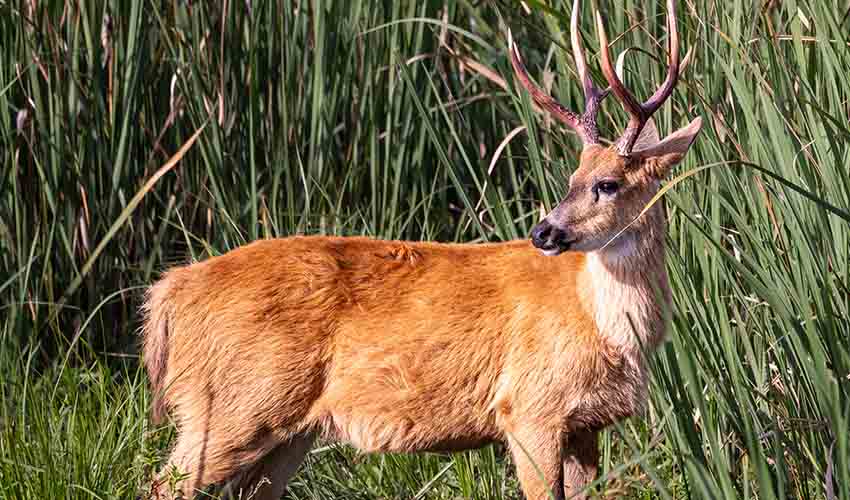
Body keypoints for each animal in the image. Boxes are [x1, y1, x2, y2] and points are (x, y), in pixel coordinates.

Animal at [142, 0, 702, 498]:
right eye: (571, 179)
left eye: (606, 183)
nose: (544, 232)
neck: (601, 323)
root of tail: (170, 292)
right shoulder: (527, 408)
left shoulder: (586, 424)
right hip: (231, 404)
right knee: (161, 485)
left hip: (286, 430)